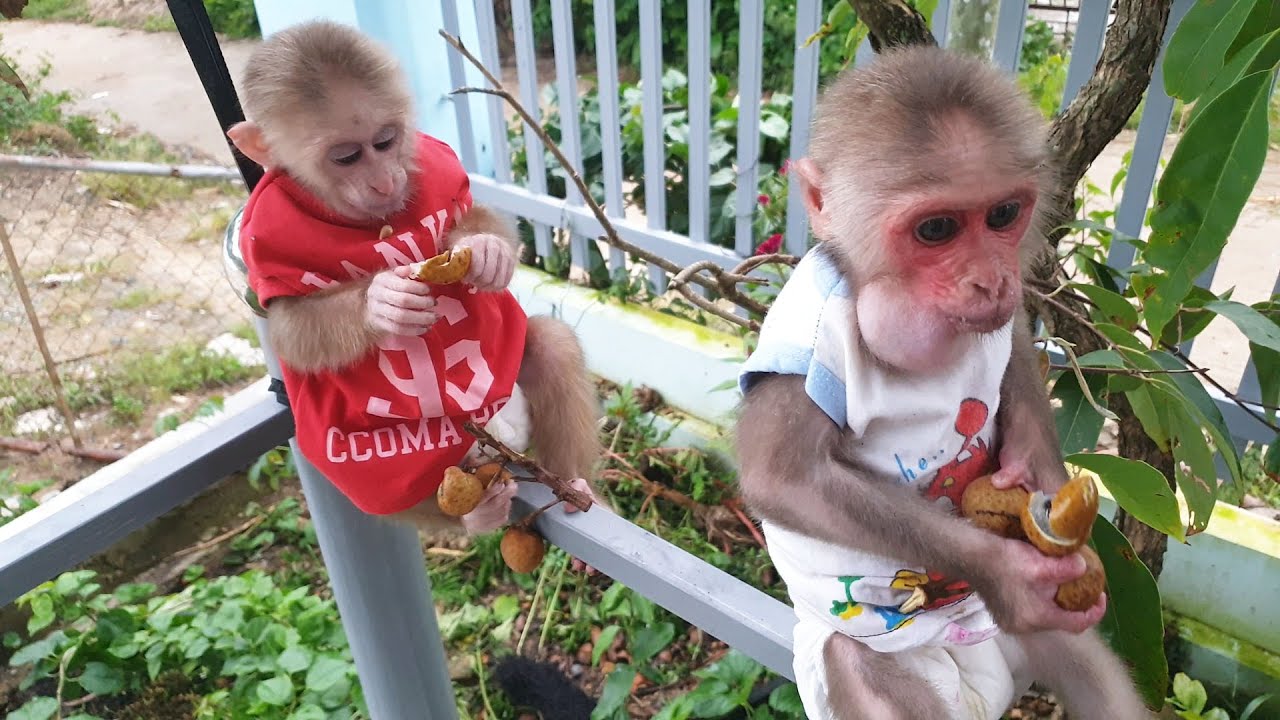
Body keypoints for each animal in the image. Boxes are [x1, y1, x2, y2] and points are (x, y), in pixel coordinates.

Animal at [227, 20, 603, 543]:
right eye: (347, 156)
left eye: (386, 141)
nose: (386, 181)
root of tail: (499, 432)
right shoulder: (263, 237)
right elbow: (292, 329)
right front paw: (383, 302)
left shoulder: (434, 157)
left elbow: (474, 215)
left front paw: (488, 251)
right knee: (377, 483)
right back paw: (476, 515)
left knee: (552, 345)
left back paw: (573, 484)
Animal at [734, 46, 1152, 720]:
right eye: (936, 230)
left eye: (1003, 215)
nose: (992, 280)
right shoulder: (809, 329)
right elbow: (785, 477)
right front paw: (1006, 575)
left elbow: (1016, 359)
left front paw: (1036, 484)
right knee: (856, 663)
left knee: (1078, 654)